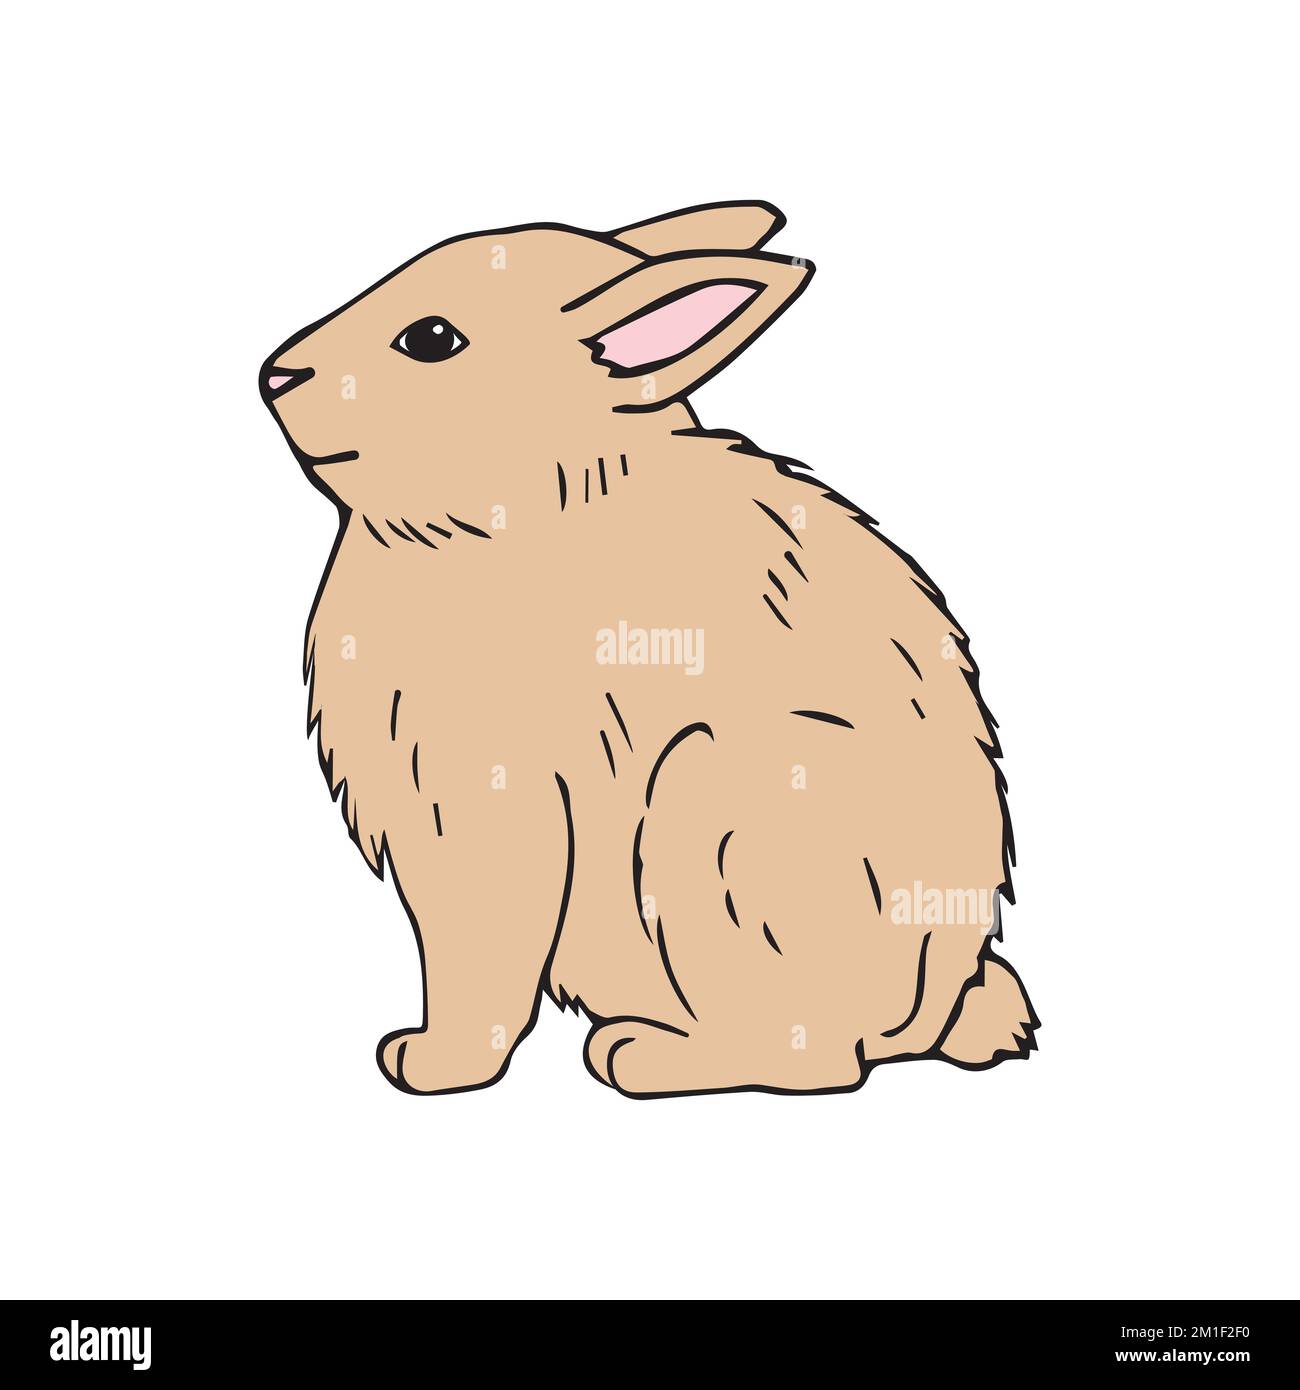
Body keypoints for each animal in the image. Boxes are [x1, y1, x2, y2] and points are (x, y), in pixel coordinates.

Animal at [259, 200, 1038, 1097]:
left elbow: (483, 955)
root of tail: (932, 1000)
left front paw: (433, 1066)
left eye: (431, 339)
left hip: (713, 804)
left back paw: (641, 1056)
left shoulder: (489, 806)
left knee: (818, 1060)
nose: (274, 375)